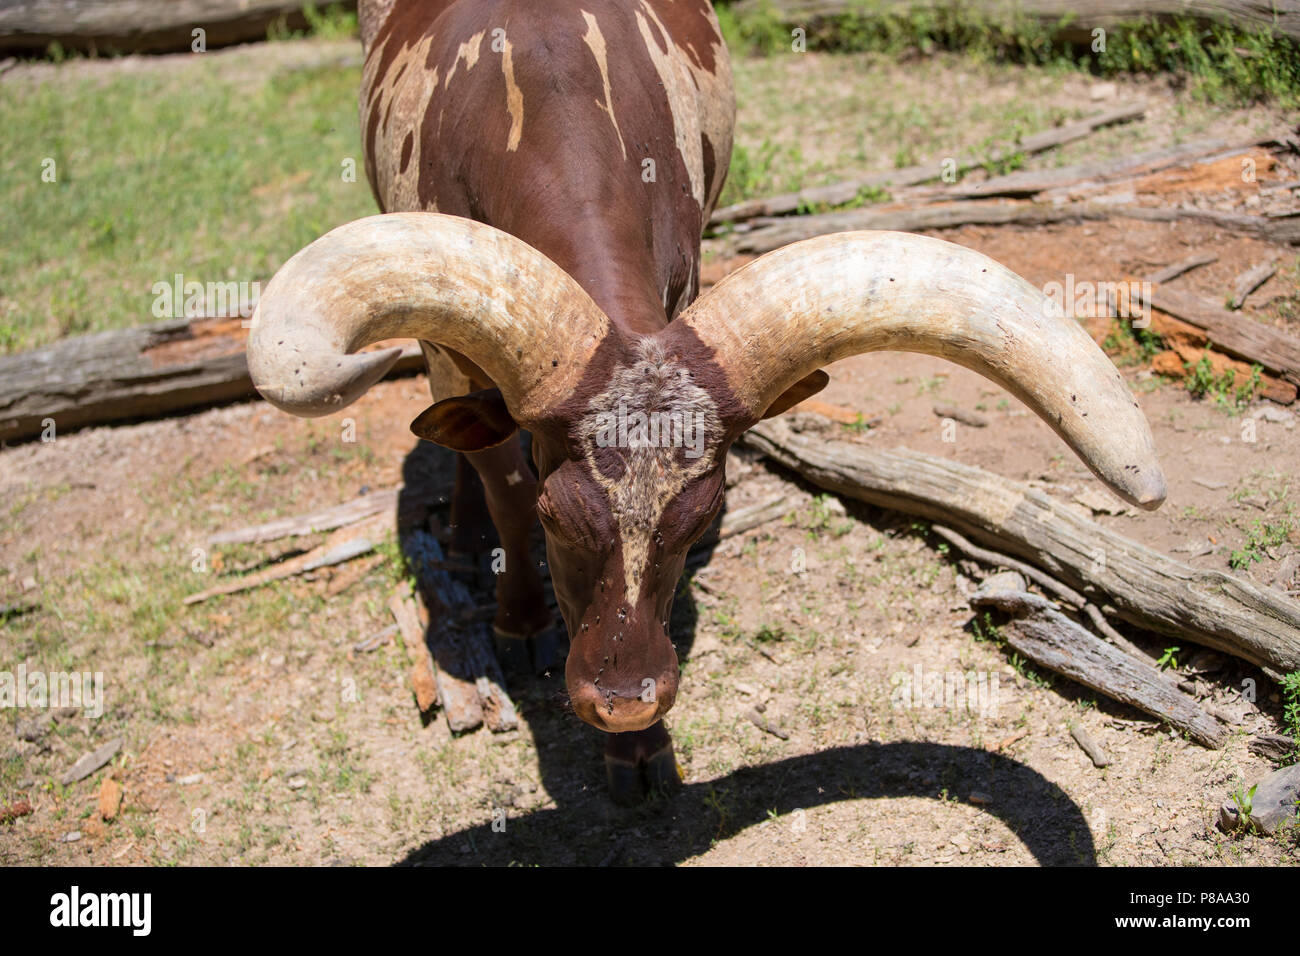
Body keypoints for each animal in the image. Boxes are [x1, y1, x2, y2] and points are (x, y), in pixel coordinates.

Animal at [247, 0, 1166, 803]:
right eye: (556, 517)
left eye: (701, 519)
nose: (625, 699)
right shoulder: (449, 355)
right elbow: (501, 477)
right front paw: (522, 617)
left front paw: (638, 751)